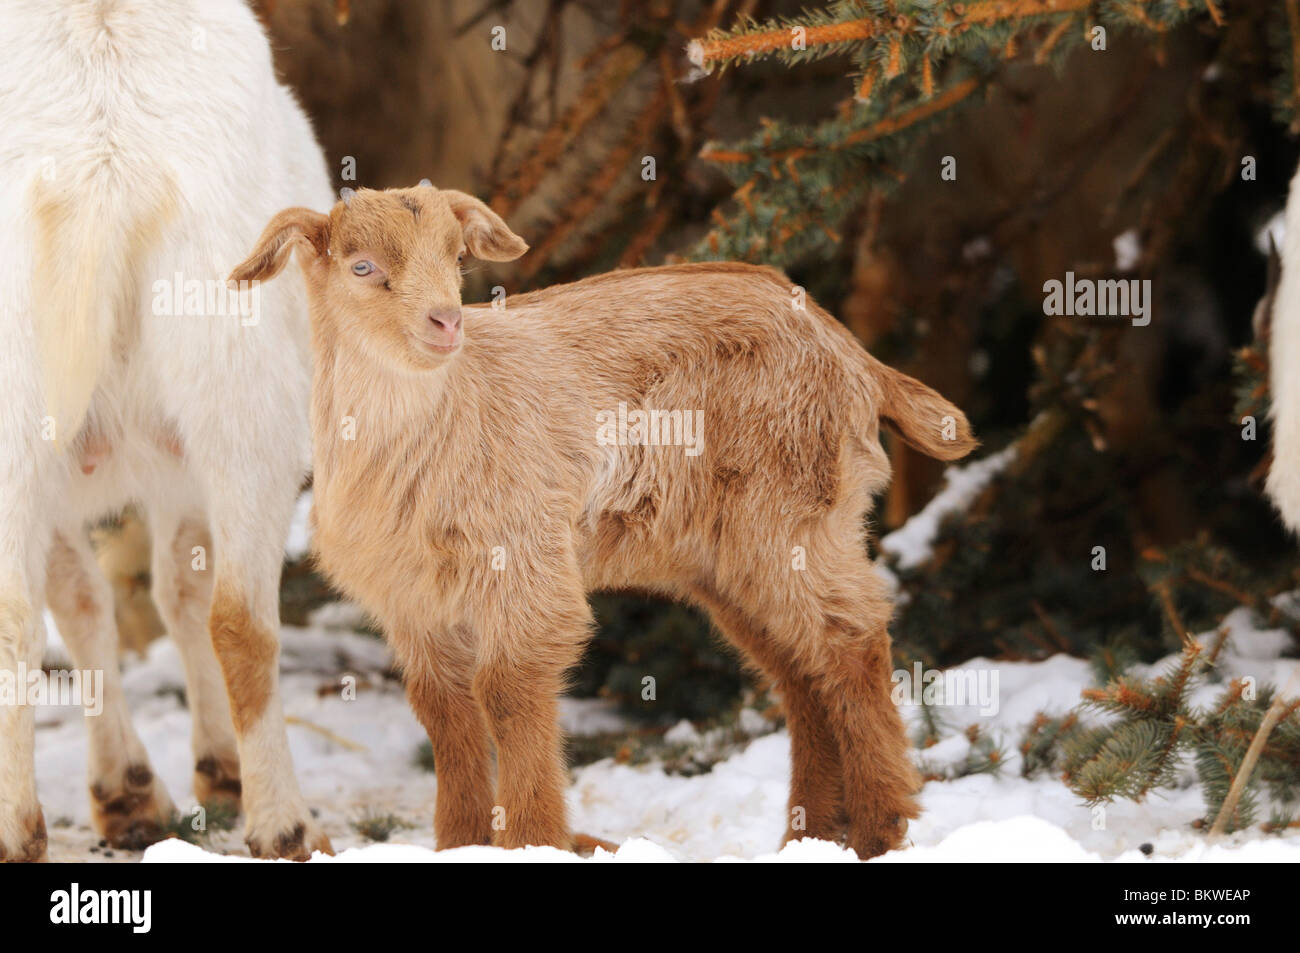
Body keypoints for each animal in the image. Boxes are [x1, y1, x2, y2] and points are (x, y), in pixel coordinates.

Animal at [0, 0, 331, 860]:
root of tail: (97, 161)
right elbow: (175, 592)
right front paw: (196, 774)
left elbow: (86, 602)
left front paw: (131, 792)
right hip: (241, 391)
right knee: (241, 619)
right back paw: (283, 821)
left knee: (13, 617)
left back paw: (16, 829)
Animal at [231, 183, 978, 858]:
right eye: (361, 266)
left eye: (454, 256)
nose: (446, 322)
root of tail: (855, 356)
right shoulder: (413, 601)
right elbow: (444, 712)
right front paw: (458, 843)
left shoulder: (525, 563)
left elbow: (508, 691)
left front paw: (533, 840)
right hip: (726, 554)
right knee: (798, 668)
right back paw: (813, 833)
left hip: (791, 513)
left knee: (853, 637)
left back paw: (879, 829)